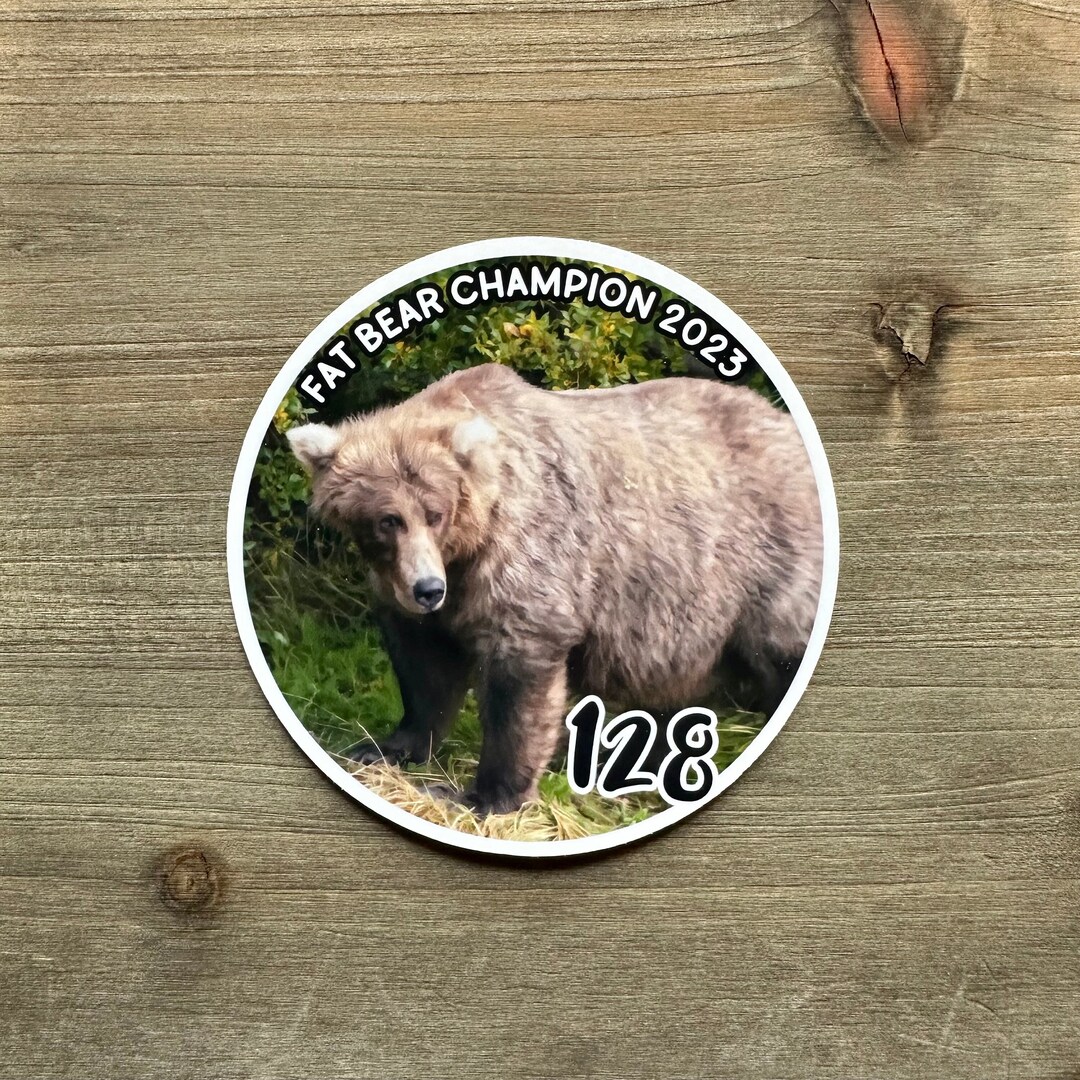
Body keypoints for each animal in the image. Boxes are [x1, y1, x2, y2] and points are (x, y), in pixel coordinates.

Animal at [286, 363, 824, 815]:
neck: (468, 547)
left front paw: (484, 795)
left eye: (434, 513)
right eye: (387, 521)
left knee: (781, 645)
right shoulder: (420, 591)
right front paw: (382, 747)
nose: (427, 589)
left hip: (759, 563)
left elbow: (519, 673)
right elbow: (425, 668)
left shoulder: (528, 554)